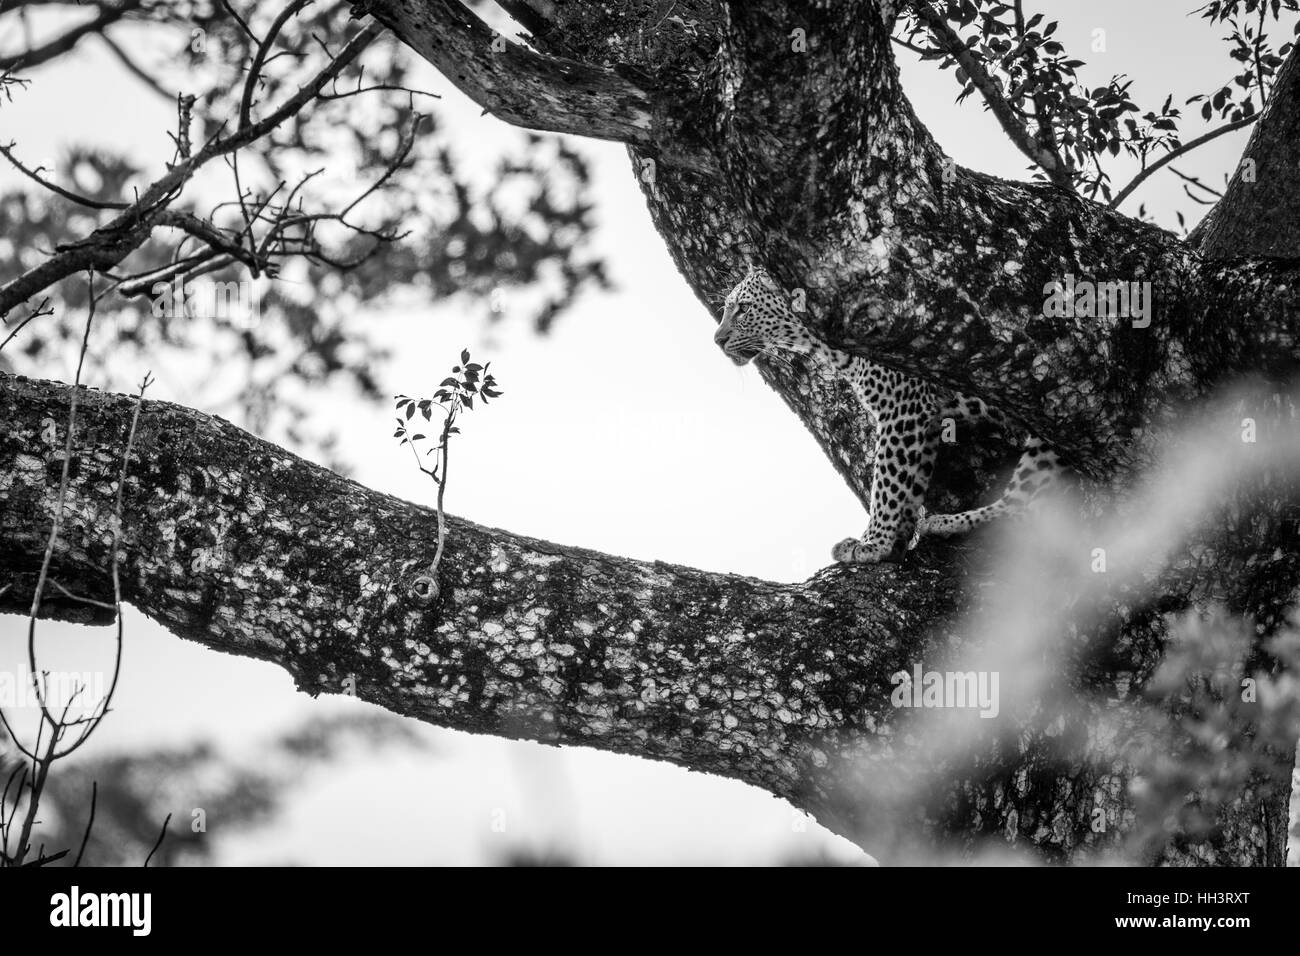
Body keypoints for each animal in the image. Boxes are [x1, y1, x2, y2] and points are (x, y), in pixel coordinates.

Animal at [714, 266, 1061, 564]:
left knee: (1023, 504)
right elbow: (910, 484)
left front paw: (872, 543)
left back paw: (953, 522)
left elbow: (887, 482)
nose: (717, 340)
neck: (828, 349)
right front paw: (897, 540)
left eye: (743, 308)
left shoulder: (902, 407)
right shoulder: (927, 417)